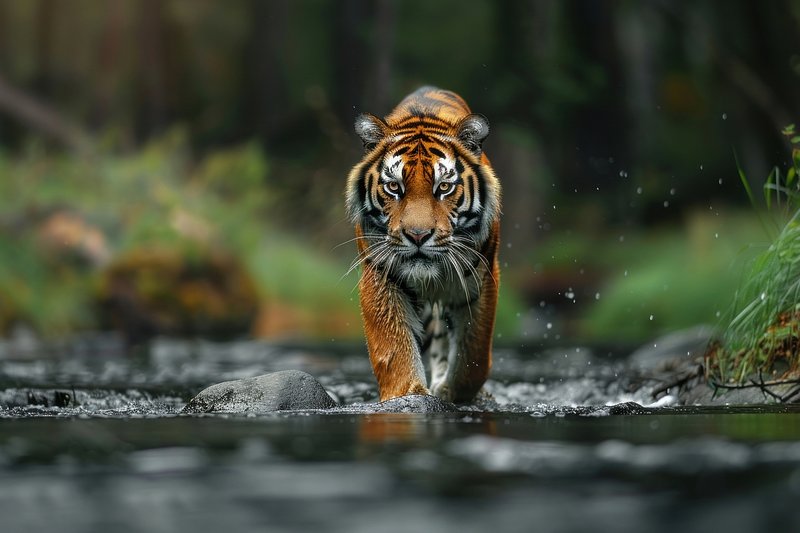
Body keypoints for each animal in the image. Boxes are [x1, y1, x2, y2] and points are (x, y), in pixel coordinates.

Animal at [345, 87, 502, 403]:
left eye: (444, 187)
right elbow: (393, 347)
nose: (417, 235)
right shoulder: (381, 276)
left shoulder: (481, 280)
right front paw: (409, 394)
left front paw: (452, 392)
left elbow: (473, 357)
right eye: (394, 187)